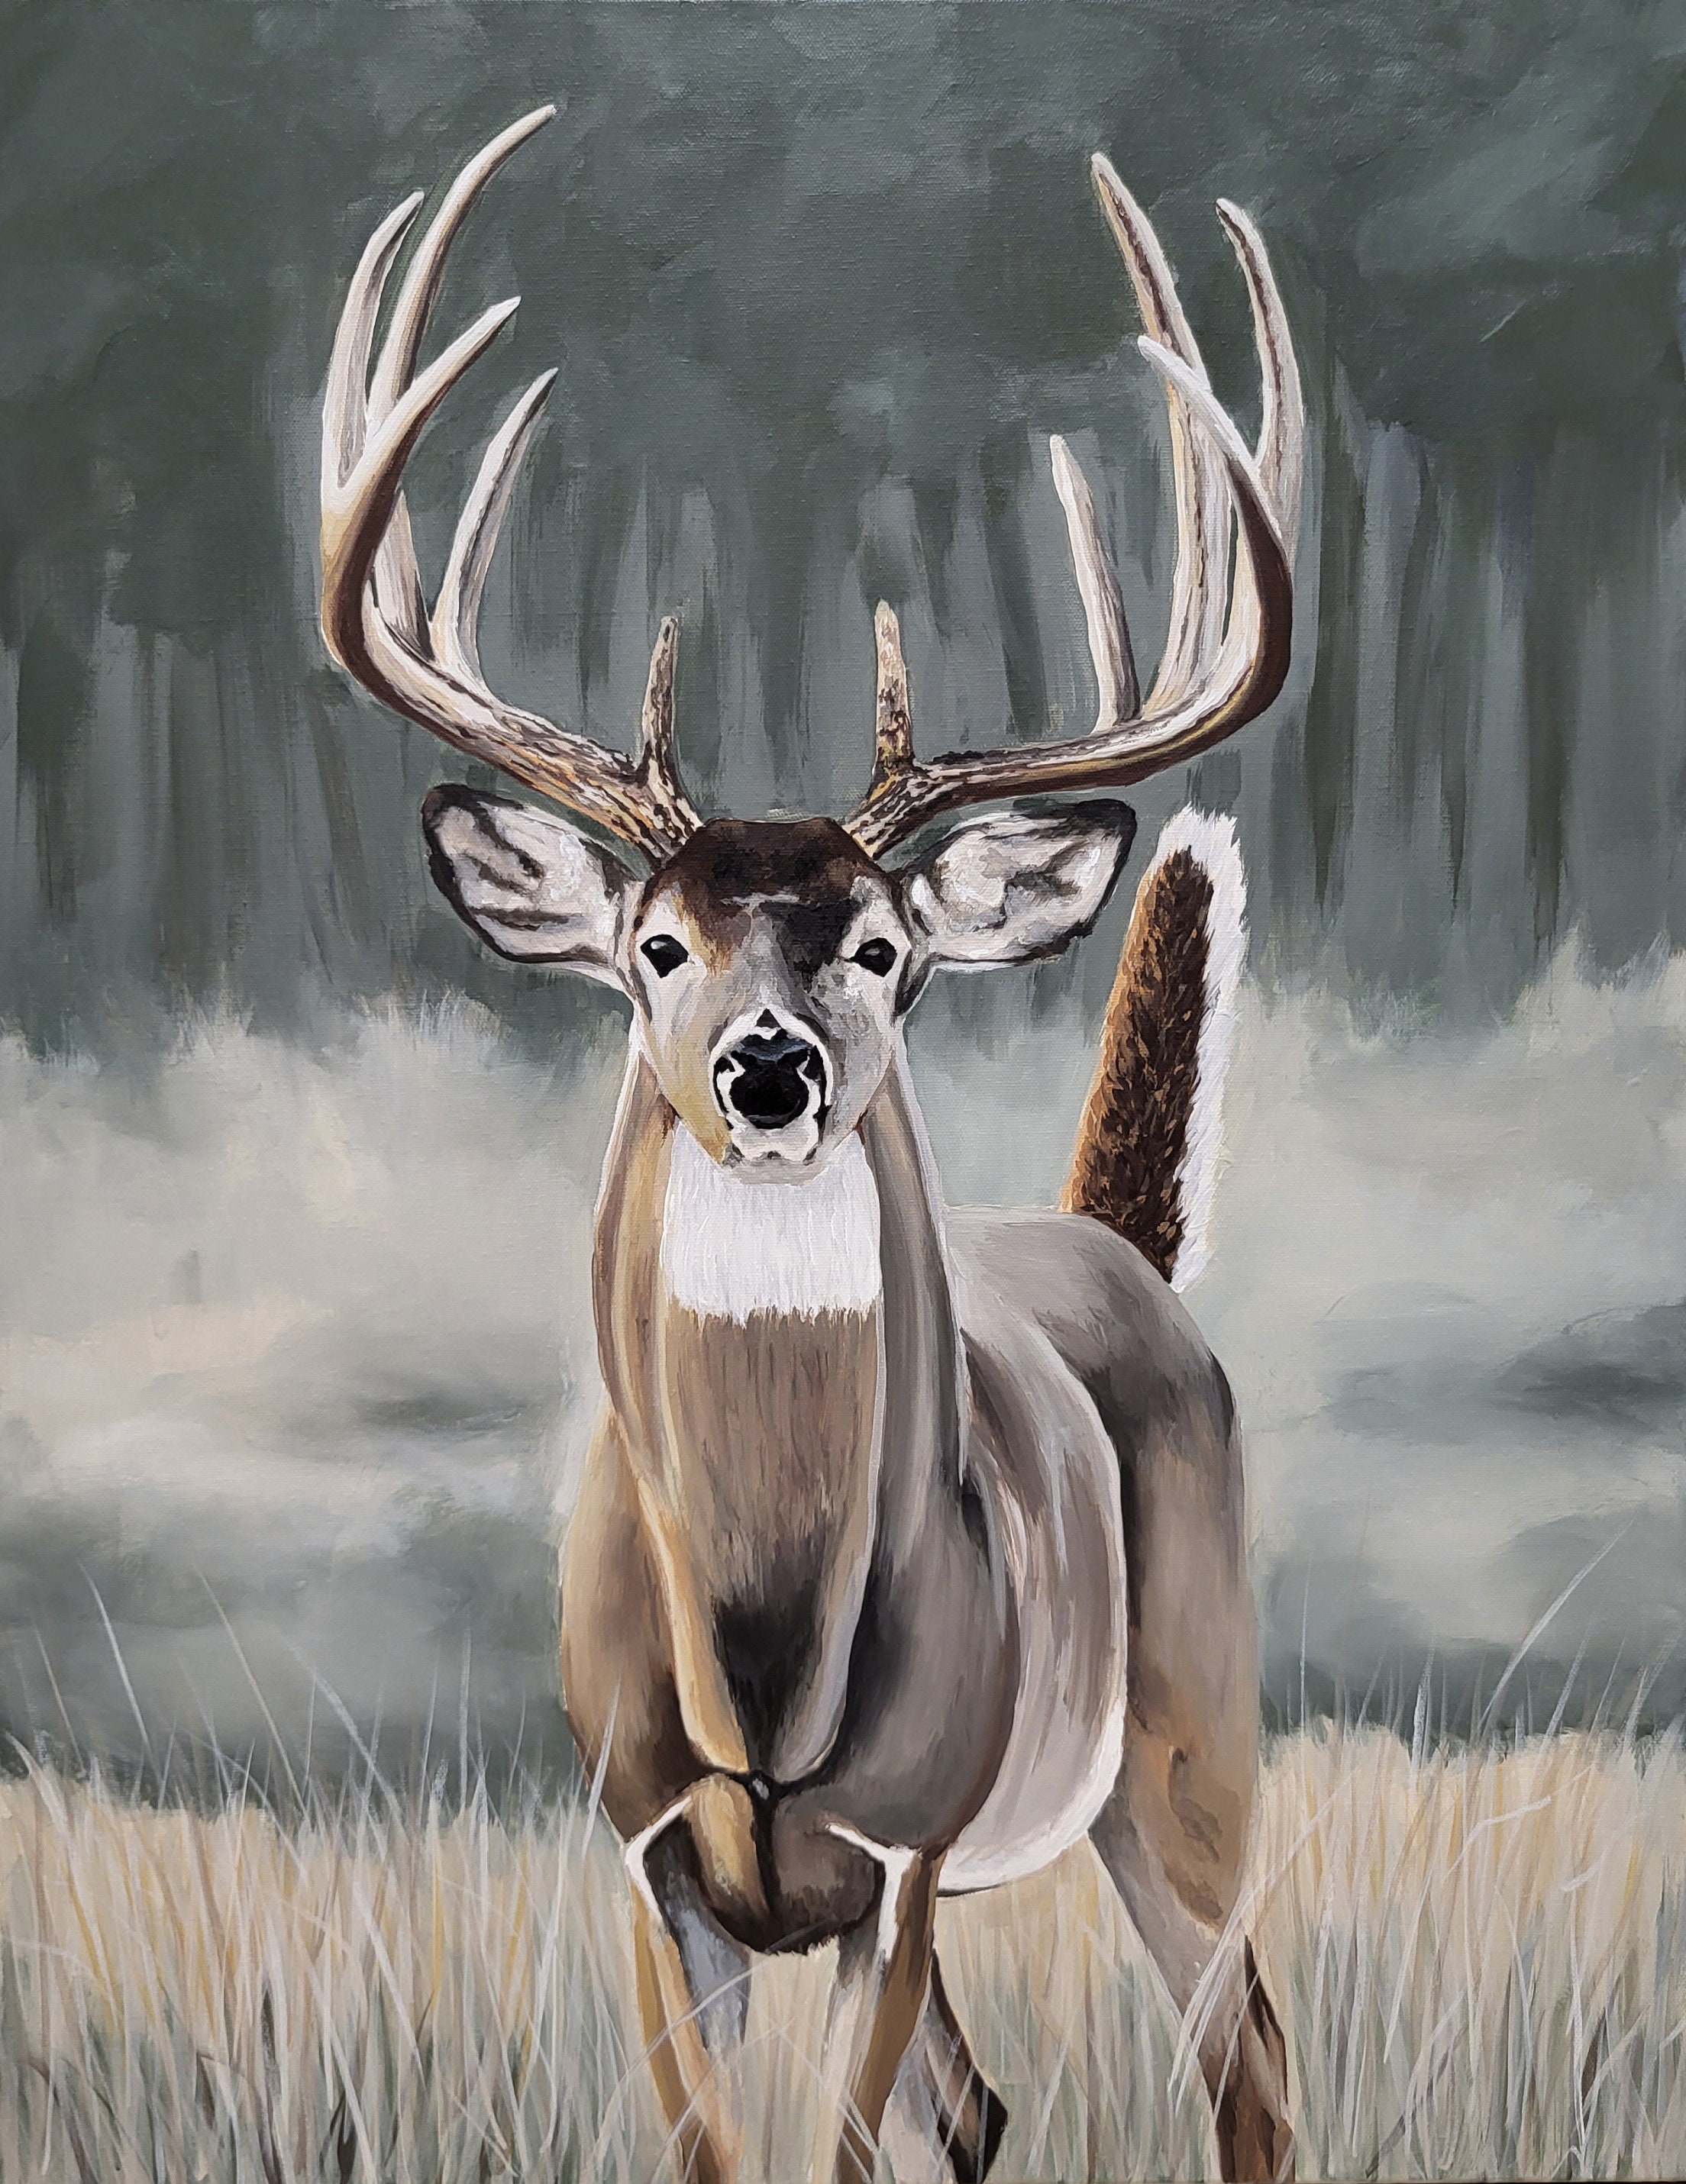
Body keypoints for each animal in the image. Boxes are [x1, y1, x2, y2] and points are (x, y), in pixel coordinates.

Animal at [319, 106, 1302, 2184]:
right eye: (652, 945)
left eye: (882, 947)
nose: (768, 1070)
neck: (763, 1667)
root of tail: (1117, 1248)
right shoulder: (646, 1853)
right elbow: (722, 2143)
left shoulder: (899, 1854)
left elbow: (845, 2142)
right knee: (998, 2097)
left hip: (1189, 1727)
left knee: (1247, 2043)